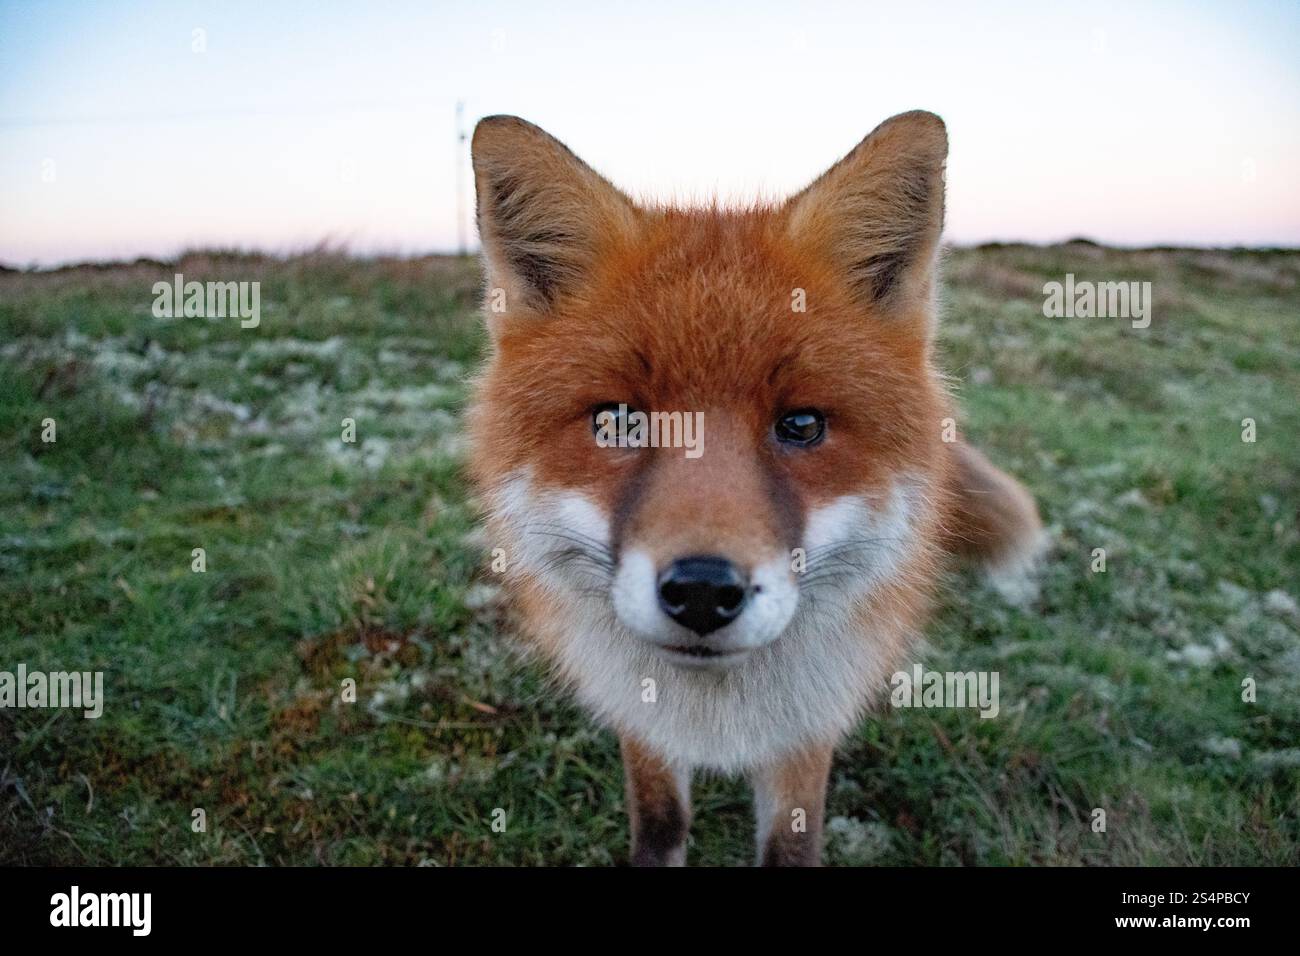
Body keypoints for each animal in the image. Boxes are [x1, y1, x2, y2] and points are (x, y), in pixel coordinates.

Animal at [466, 110, 1044, 866]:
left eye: (800, 424)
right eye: (618, 421)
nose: (702, 591)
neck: (717, 712)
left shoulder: (805, 732)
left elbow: (790, 844)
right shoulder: (644, 723)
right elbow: (659, 822)